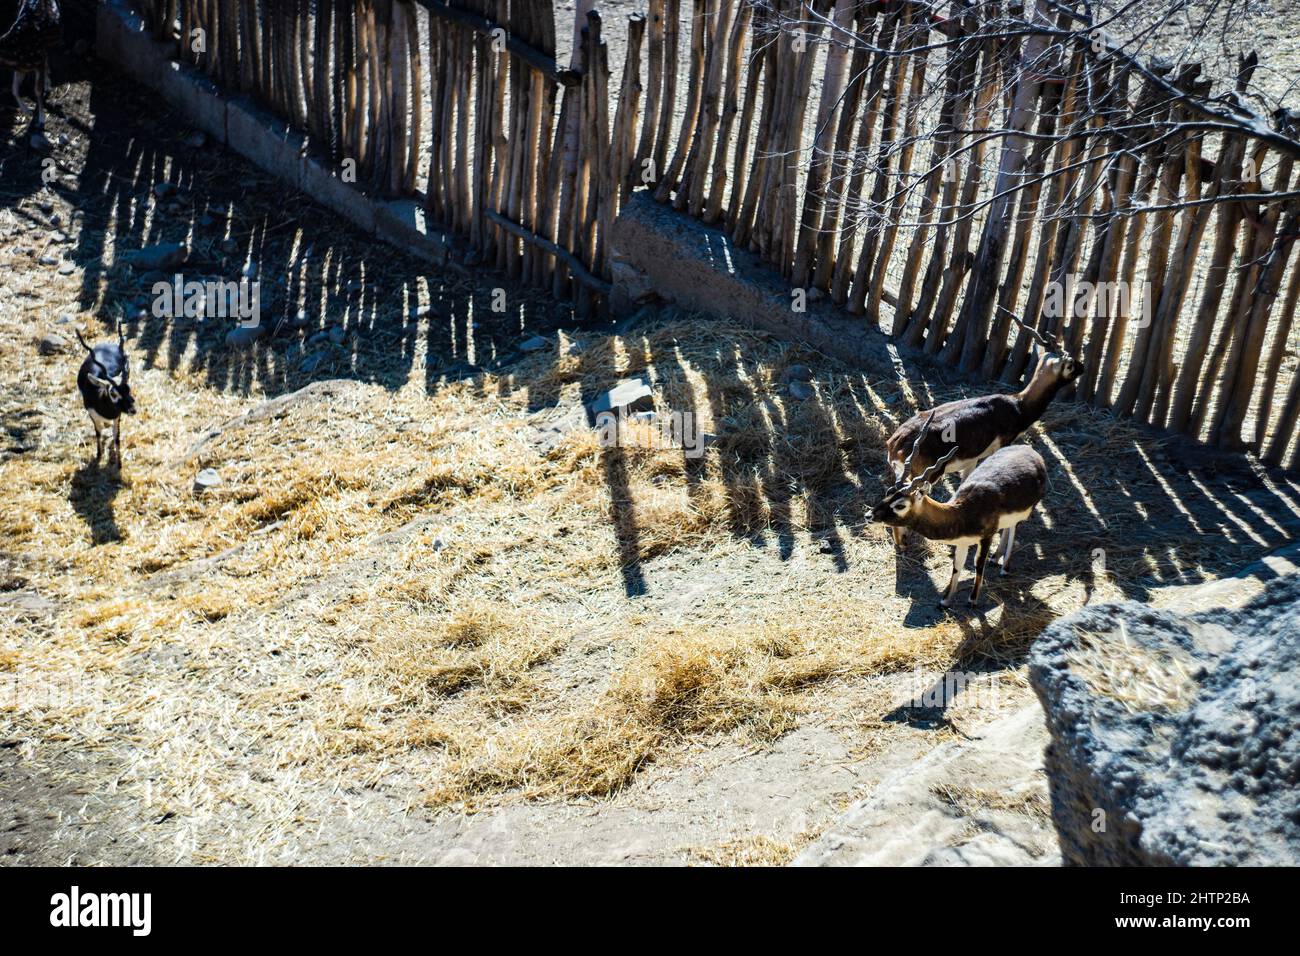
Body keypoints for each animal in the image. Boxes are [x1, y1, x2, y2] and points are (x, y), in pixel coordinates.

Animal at [75, 326, 135, 466]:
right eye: (113, 393)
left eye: (128, 389)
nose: (133, 410)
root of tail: (106, 344)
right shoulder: (92, 415)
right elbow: (98, 433)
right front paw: (99, 454)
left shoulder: (117, 417)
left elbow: (117, 437)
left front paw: (119, 462)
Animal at [871, 413, 1047, 607]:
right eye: (888, 493)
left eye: (900, 505)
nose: (869, 515)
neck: (961, 513)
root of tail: (1030, 451)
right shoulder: (962, 543)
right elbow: (957, 566)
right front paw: (945, 600)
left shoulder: (986, 537)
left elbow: (978, 563)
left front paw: (972, 599)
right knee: (1008, 528)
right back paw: (996, 558)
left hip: (1024, 512)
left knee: (1013, 528)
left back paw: (1005, 567)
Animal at [882, 317, 1079, 546]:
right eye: (1070, 364)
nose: (1082, 367)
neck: (1018, 405)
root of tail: (897, 441)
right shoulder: (1002, 445)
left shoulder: (971, 460)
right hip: (927, 477)